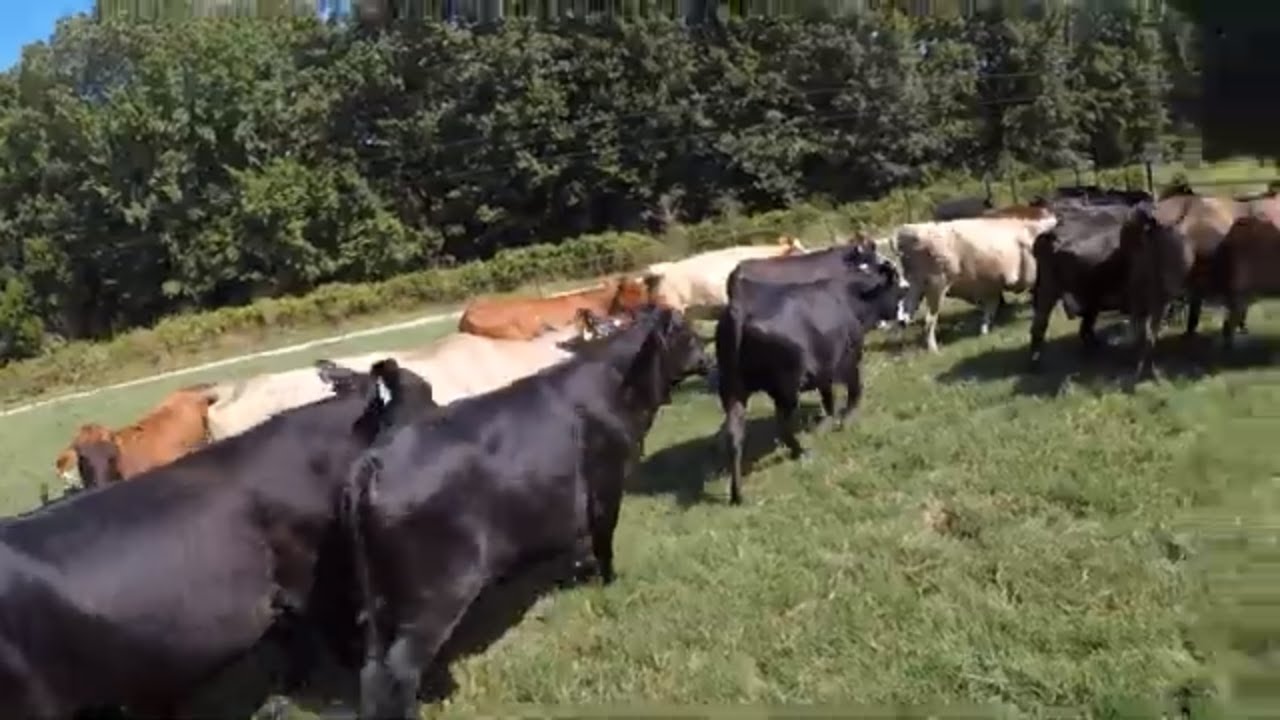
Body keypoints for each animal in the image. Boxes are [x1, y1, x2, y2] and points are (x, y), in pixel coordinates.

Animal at [342, 306, 709, 720]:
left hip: (378, 605)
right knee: (401, 668)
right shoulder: (606, 483)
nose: (707, 354)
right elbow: (603, 539)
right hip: (438, 591)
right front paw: (610, 581)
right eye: (686, 332)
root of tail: (374, 462)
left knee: (372, 670)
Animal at [715, 257, 907, 506]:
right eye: (900, 290)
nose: (904, 320)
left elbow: (827, 396)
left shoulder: (824, 367)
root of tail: (740, 311)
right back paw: (801, 452)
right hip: (786, 389)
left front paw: (827, 421)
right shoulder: (849, 358)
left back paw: (737, 494)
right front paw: (847, 419)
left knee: (734, 436)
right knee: (782, 426)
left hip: (733, 391)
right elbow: (855, 389)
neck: (850, 295)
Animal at [895, 211, 1059, 352]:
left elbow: (991, 308)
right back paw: (933, 349)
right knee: (929, 319)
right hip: (936, 287)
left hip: (916, 287)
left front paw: (985, 330)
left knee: (904, 315)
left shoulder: (992, 286)